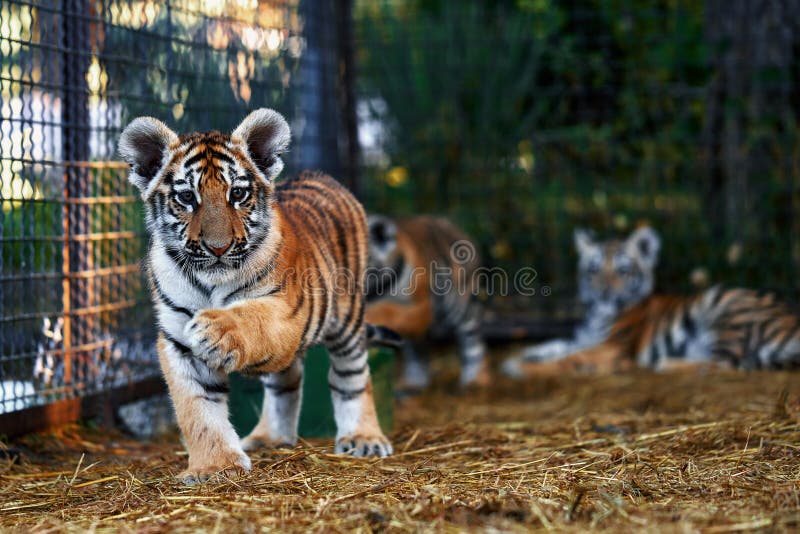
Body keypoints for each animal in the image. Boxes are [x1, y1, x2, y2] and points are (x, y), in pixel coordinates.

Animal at [118, 108, 393, 485]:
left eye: (237, 193)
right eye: (187, 198)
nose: (218, 247)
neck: (210, 285)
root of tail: (321, 175)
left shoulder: (286, 312)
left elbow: (251, 318)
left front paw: (217, 332)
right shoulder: (176, 341)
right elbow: (196, 408)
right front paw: (214, 467)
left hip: (348, 322)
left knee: (351, 378)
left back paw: (364, 438)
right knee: (286, 381)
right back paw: (270, 438)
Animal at [364, 215, 489, 390]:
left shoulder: (422, 306)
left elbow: (388, 309)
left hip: (464, 306)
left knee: (472, 341)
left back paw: (475, 380)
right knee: (416, 349)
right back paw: (414, 381)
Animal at [502, 226, 800, 378]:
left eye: (622, 271)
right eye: (593, 270)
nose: (604, 293)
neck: (597, 315)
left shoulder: (612, 347)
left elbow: (568, 357)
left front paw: (520, 367)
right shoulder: (584, 338)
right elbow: (555, 345)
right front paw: (521, 355)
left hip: (725, 308)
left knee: (727, 363)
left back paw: (666, 364)